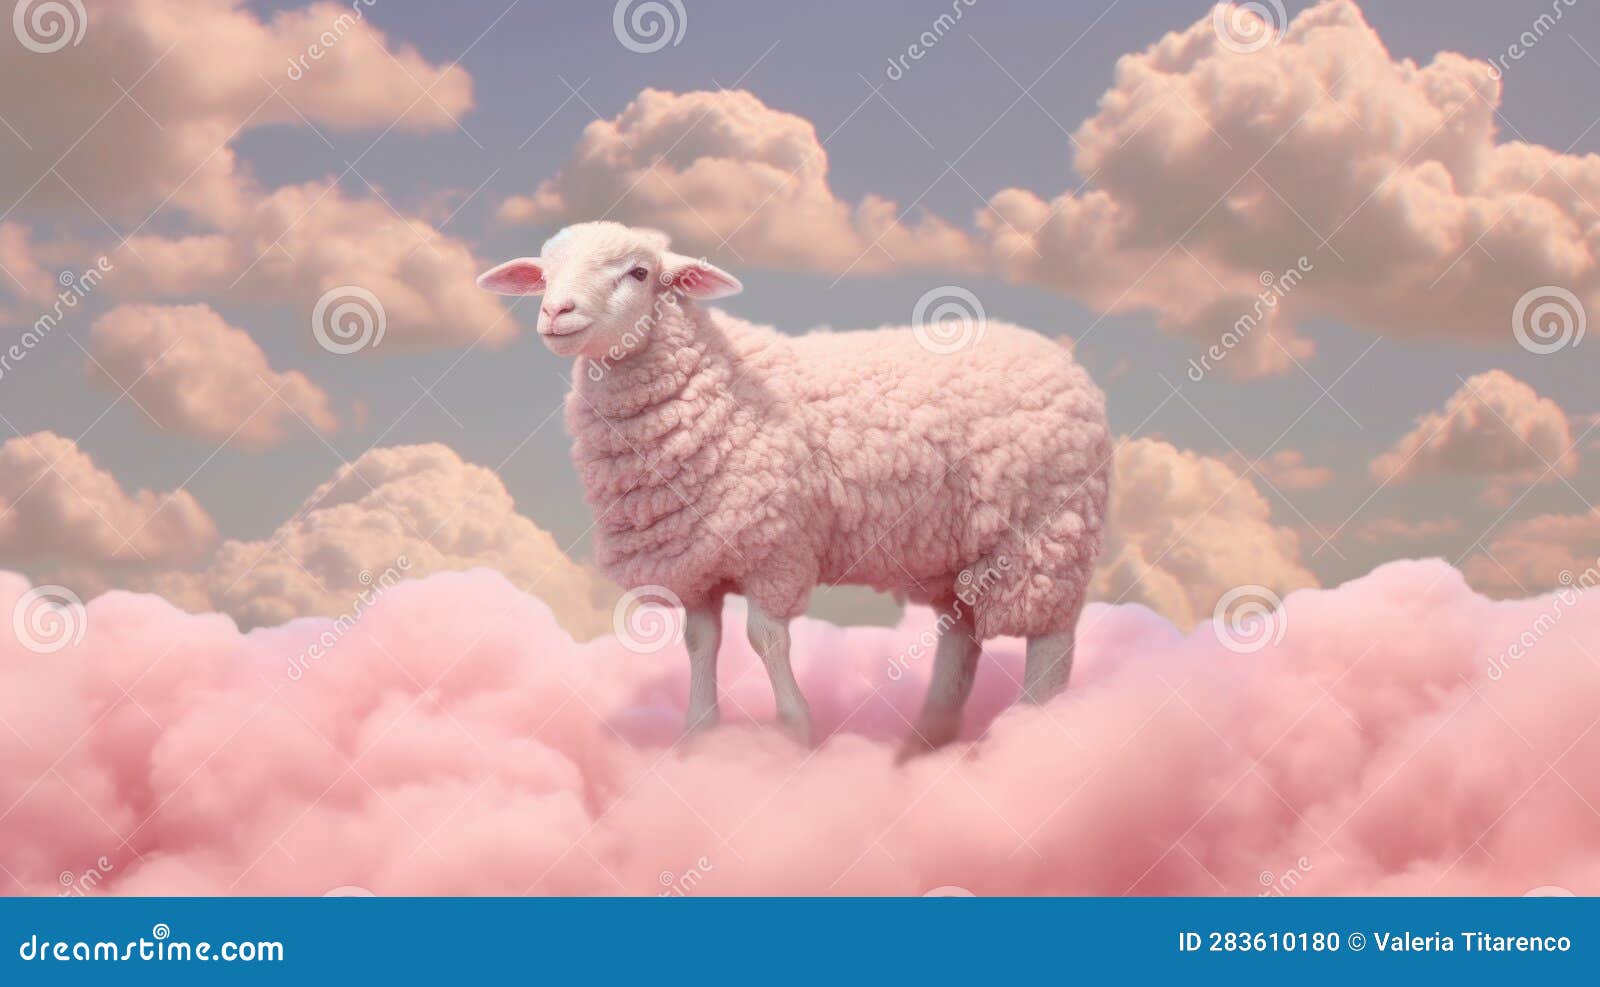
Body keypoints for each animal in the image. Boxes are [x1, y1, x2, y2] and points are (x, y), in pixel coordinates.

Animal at [477, 222, 1111, 752]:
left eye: (638, 272)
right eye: (544, 272)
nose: (555, 311)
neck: (716, 381)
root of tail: (1067, 364)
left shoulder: (773, 544)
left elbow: (765, 638)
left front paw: (796, 730)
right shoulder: (695, 558)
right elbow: (701, 643)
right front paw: (698, 737)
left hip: (1046, 534)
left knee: (1052, 644)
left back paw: (1024, 736)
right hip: (957, 553)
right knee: (962, 637)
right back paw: (927, 740)